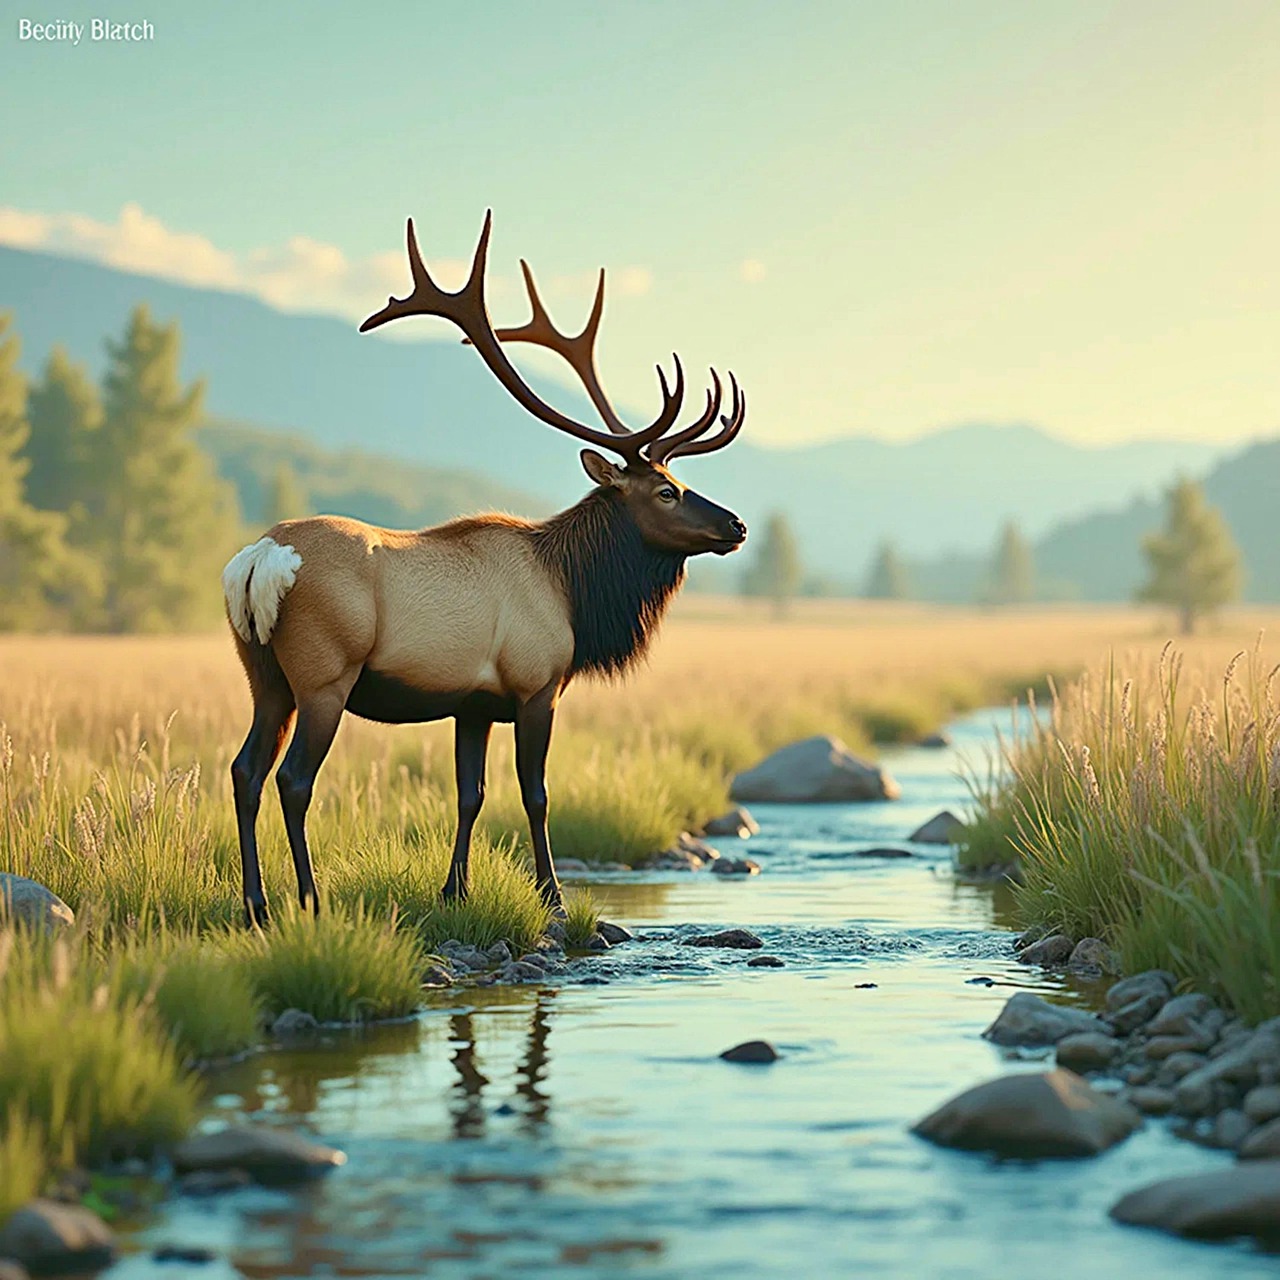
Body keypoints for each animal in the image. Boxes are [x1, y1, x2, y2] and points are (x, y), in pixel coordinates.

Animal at [222, 212, 747, 927]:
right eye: (666, 490)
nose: (736, 525)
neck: (573, 592)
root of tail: (262, 558)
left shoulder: (470, 705)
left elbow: (469, 794)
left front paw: (455, 891)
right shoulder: (536, 683)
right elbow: (536, 793)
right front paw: (553, 898)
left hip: (264, 674)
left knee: (244, 770)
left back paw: (257, 905)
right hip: (323, 673)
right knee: (293, 778)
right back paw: (309, 899)